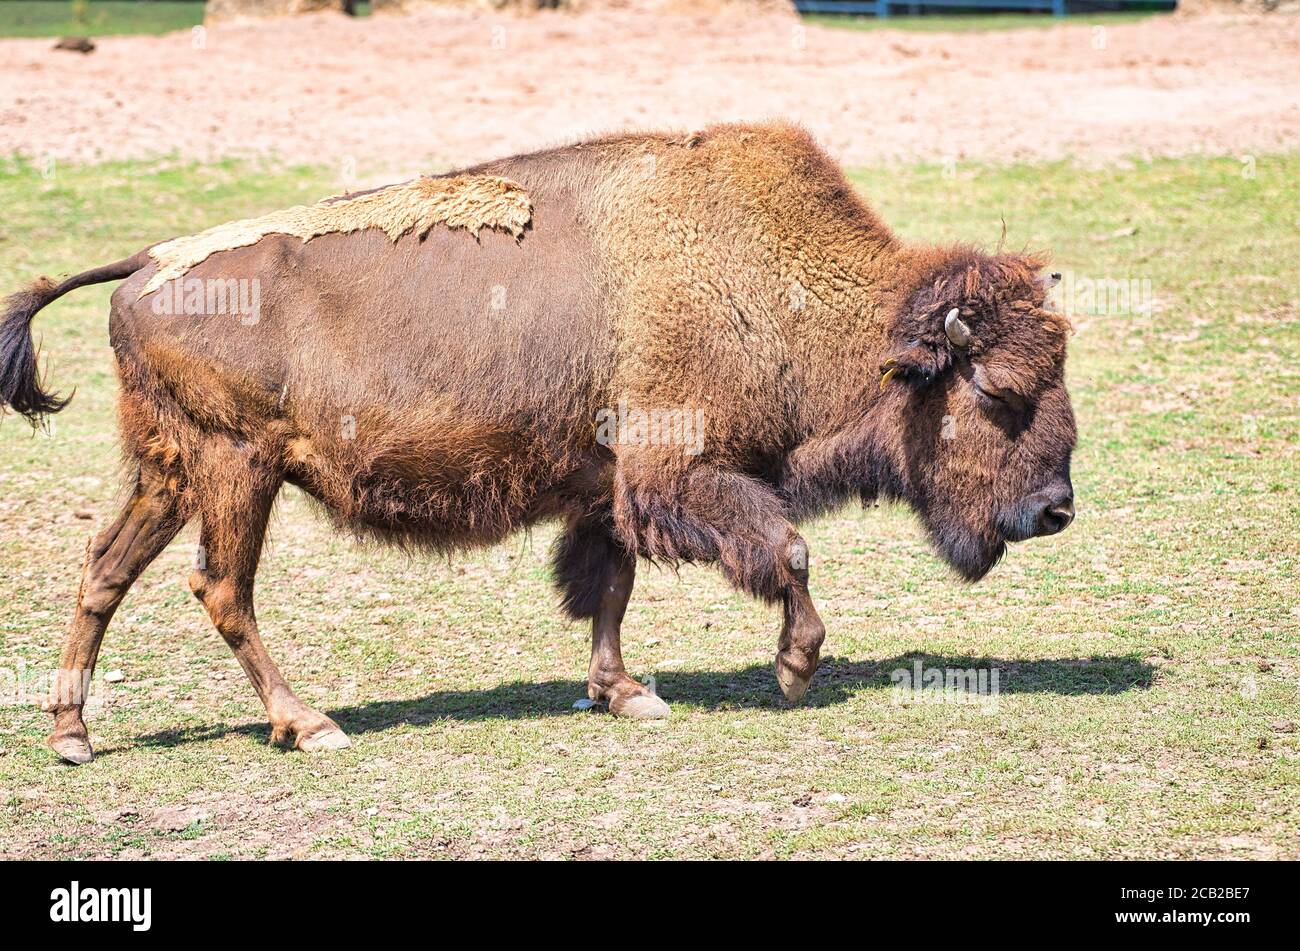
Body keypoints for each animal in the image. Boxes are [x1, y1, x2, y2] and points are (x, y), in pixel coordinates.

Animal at [0, 122, 1076, 764]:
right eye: (996, 389)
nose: (1056, 508)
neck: (768, 274)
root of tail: (146, 262)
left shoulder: (609, 489)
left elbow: (608, 586)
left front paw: (624, 694)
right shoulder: (680, 472)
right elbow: (785, 548)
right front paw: (795, 668)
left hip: (169, 471)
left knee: (104, 569)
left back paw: (72, 734)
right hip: (237, 470)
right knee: (221, 588)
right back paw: (310, 725)